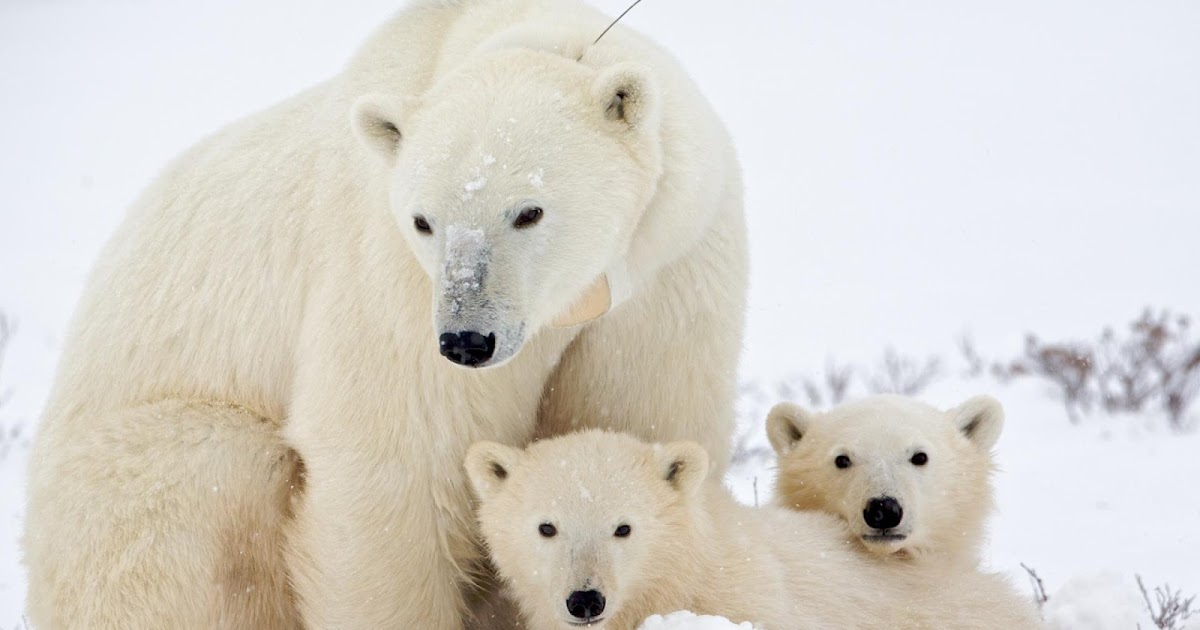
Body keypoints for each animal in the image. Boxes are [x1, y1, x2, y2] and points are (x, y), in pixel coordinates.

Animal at [22, 0, 747, 627]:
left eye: (529, 210)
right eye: (424, 220)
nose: (466, 340)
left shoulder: (668, 267)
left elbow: (635, 416)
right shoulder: (387, 272)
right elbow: (397, 458)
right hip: (128, 484)